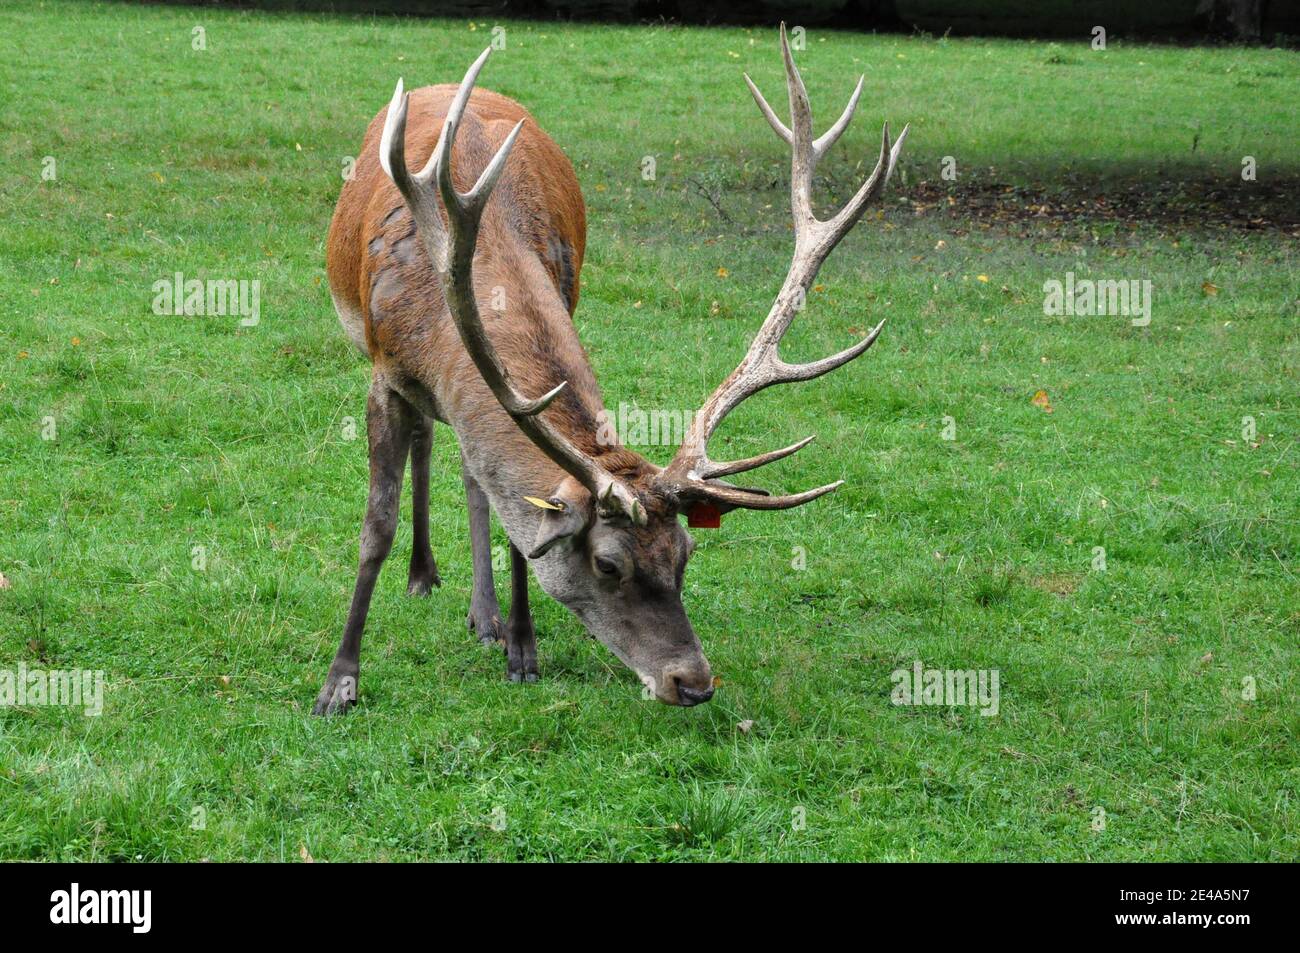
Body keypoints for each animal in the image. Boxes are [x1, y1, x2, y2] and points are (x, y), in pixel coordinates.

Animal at [315, 24, 907, 714]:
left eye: (686, 553)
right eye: (608, 564)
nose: (694, 682)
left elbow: (518, 522)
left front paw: (522, 649)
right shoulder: (384, 372)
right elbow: (375, 526)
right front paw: (339, 682)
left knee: (470, 467)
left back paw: (485, 616)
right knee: (427, 441)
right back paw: (423, 574)